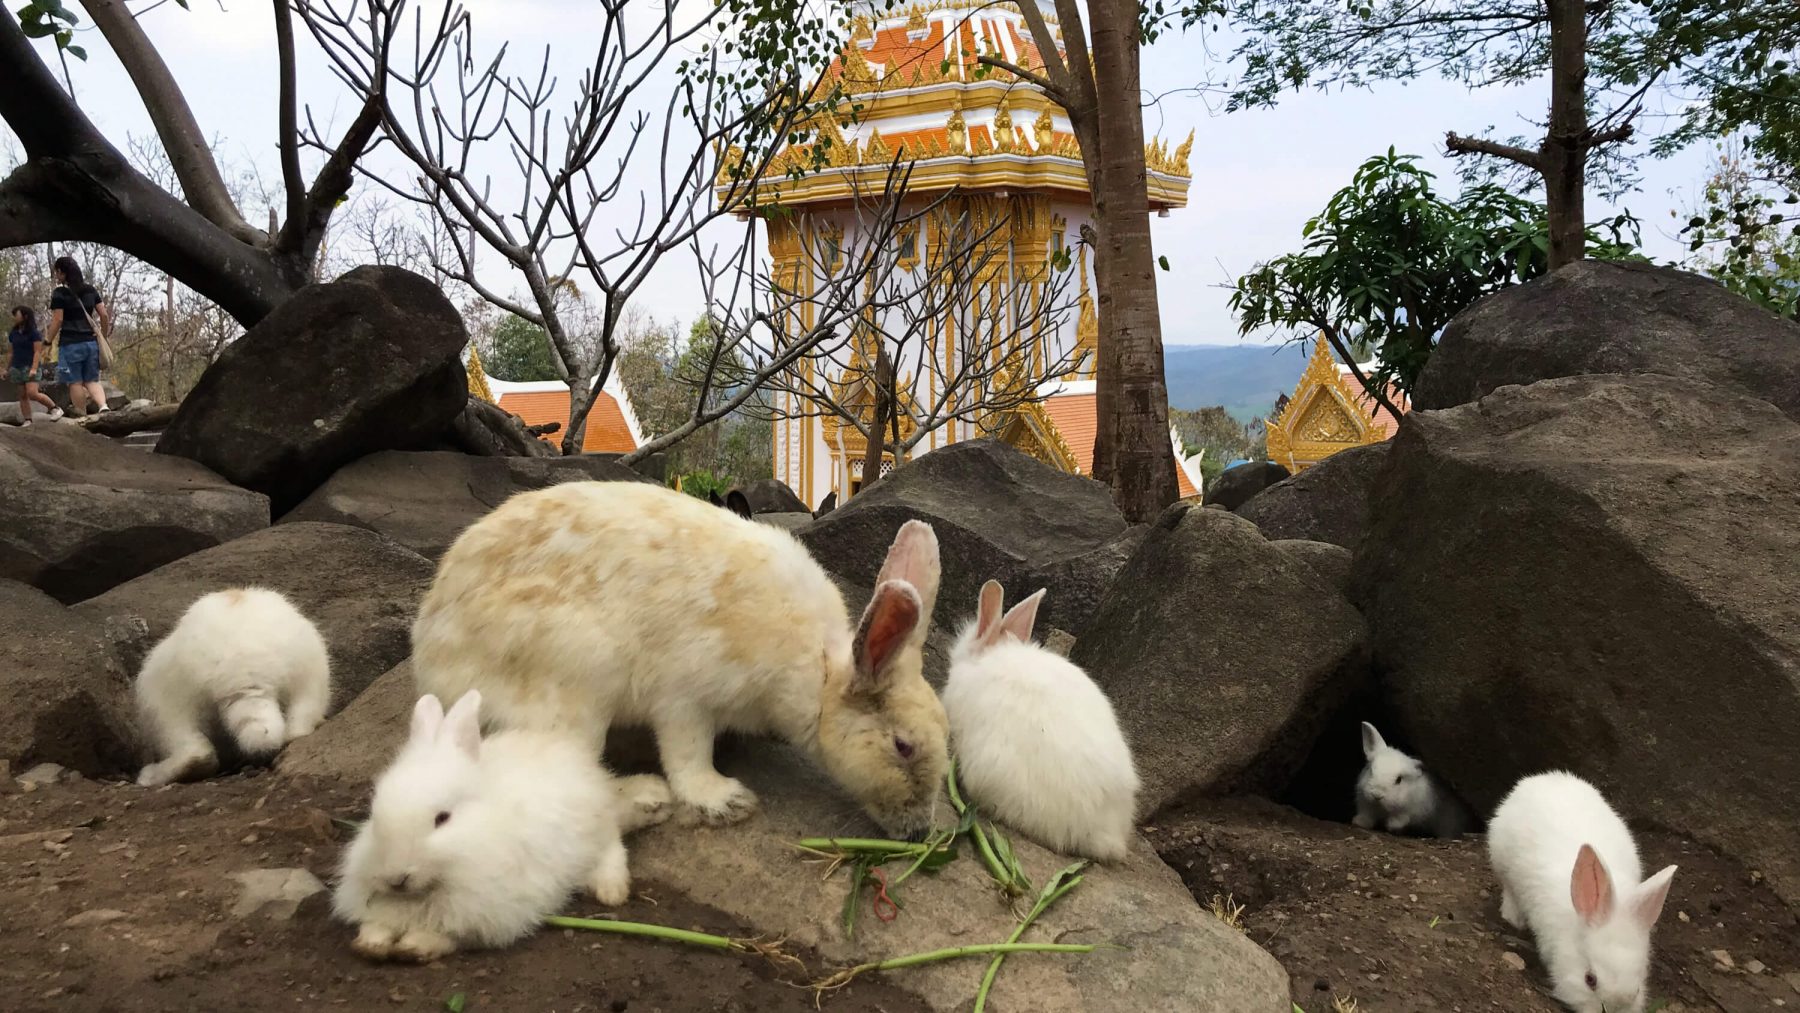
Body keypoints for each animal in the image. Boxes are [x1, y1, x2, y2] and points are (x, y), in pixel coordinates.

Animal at [134, 587, 331, 787]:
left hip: (162, 698)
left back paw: (149, 776)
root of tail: (245, 671)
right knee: (296, 730)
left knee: (194, 751)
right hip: (310, 676)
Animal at [334, 691, 673, 962]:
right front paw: (370, 945)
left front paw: (414, 947)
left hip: (595, 833)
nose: (395, 877)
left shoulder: (489, 912)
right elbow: (377, 924)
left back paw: (610, 891)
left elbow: (450, 935)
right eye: (374, 815)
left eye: (442, 818)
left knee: (612, 850)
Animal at [410, 481, 948, 837]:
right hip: (577, 684)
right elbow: (687, 756)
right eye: (903, 746)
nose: (920, 832)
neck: (817, 672)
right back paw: (649, 800)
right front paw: (727, 801)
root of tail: (429, 660)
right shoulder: (685, 699)